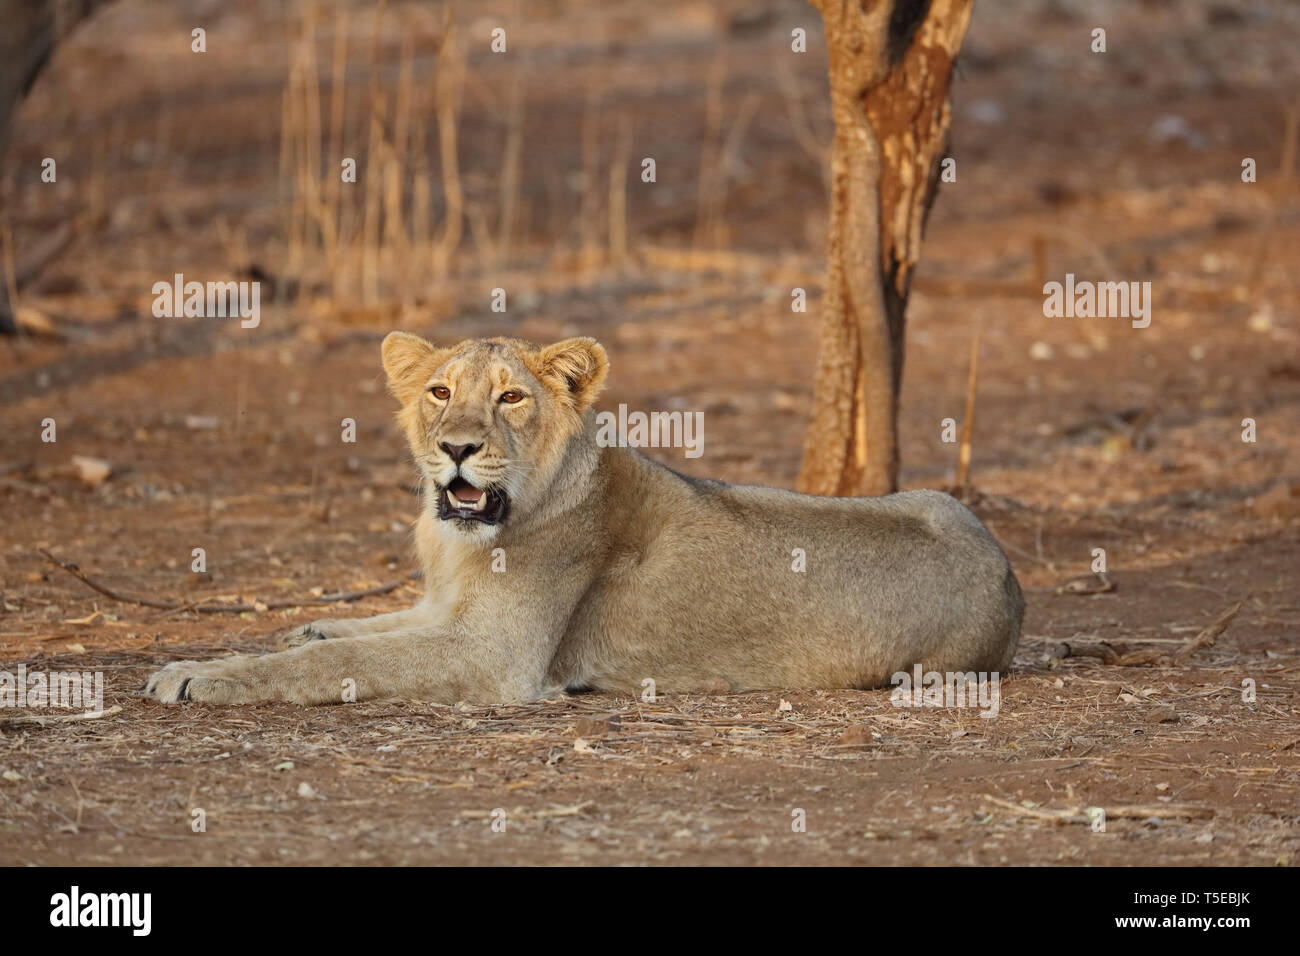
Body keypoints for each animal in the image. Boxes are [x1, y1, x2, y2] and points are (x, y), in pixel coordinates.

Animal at [142, 333, 1023, 705]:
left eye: (510, 397)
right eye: (438, 392)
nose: (457, 448)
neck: (462, 540)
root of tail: (1014, 582)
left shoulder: (495, 657)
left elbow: (334, 663)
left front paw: (199, 675)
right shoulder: (445, 611)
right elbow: (365, 627)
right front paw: (302, 626)